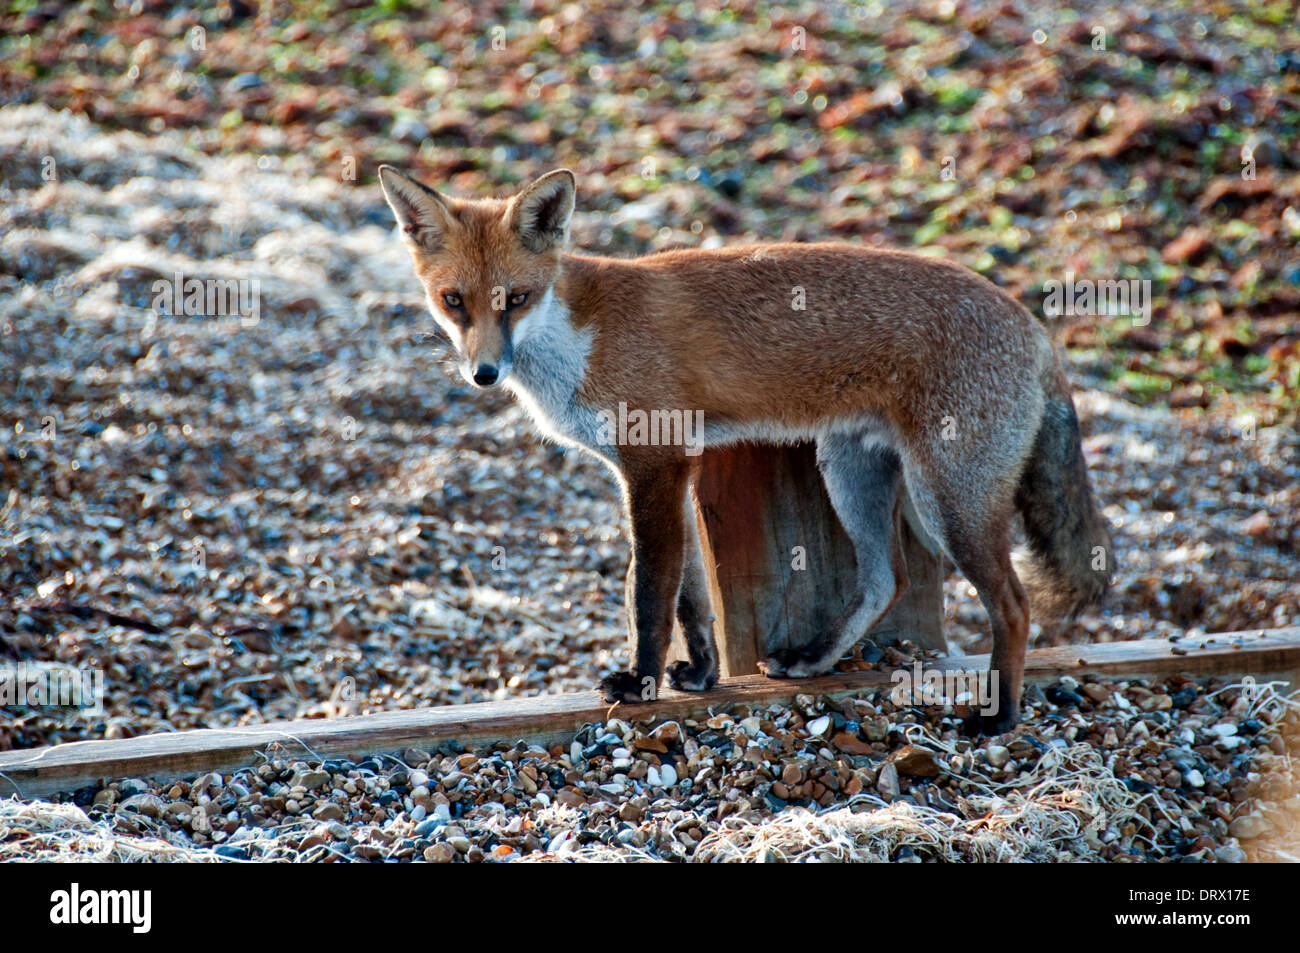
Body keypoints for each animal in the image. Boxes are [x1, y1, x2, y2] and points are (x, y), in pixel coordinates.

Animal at [378, 165, 1113, 732]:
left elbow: (649, 594)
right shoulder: (669, 470)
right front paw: (702, 674)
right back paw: (813, 660)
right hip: (849, 469)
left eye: (518, 298)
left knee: (1012, 605)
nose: (484, 373)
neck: (576, 339)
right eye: (454, 301)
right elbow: (690, 597)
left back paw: (1002, 716)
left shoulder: (656, 465)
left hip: (947, 498)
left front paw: (640, 683)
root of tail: (1032, 324)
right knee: (887, 579)